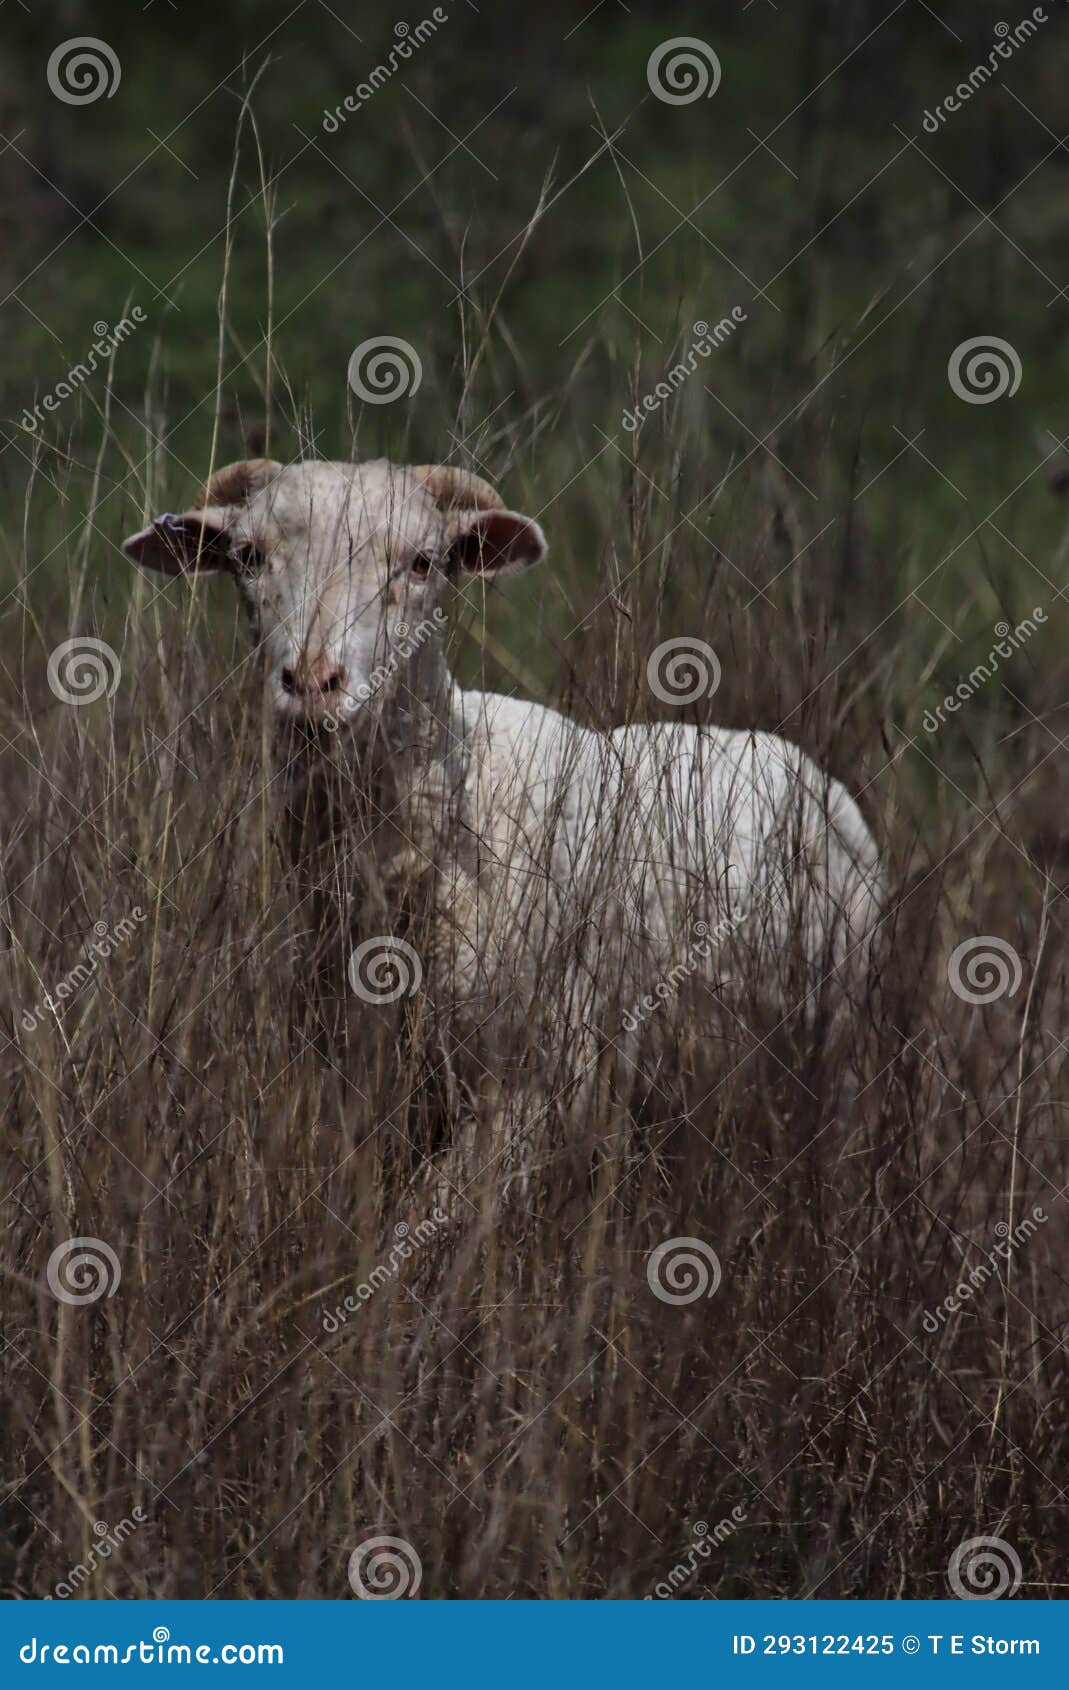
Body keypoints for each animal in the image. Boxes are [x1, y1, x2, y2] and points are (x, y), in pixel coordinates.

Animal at [123, 457, 882, 1177]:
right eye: (248, 556)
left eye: (422, 563)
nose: (313, 683)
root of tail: (803, 767)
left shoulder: (539, 1088)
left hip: (837, 1056)